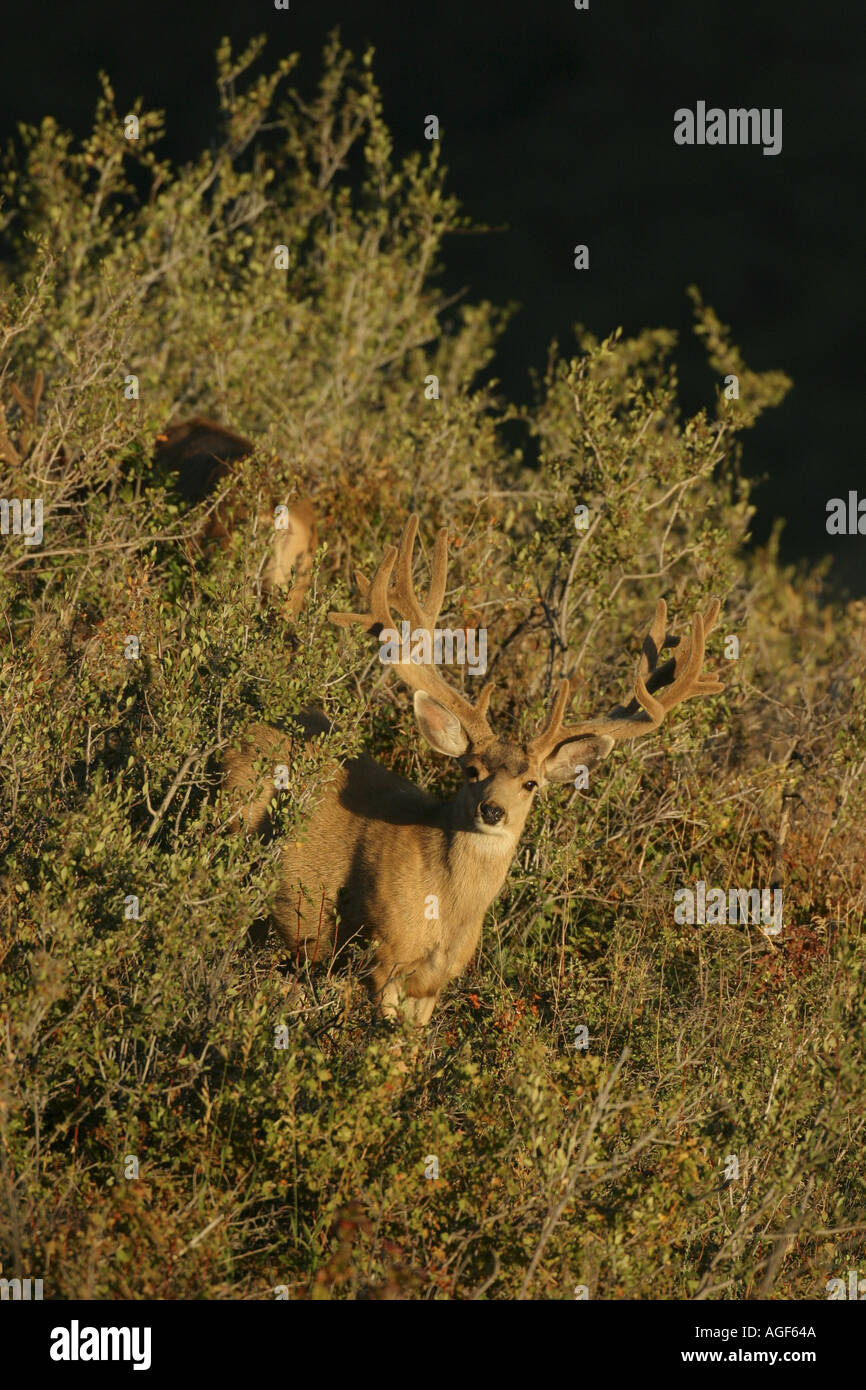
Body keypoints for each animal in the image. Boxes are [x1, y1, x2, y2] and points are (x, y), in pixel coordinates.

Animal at [222, 514, 724, 1024]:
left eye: (531, 783)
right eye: (471, 769)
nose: (493, 811)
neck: (445, 915)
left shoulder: (434, 984)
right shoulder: (382, 958)